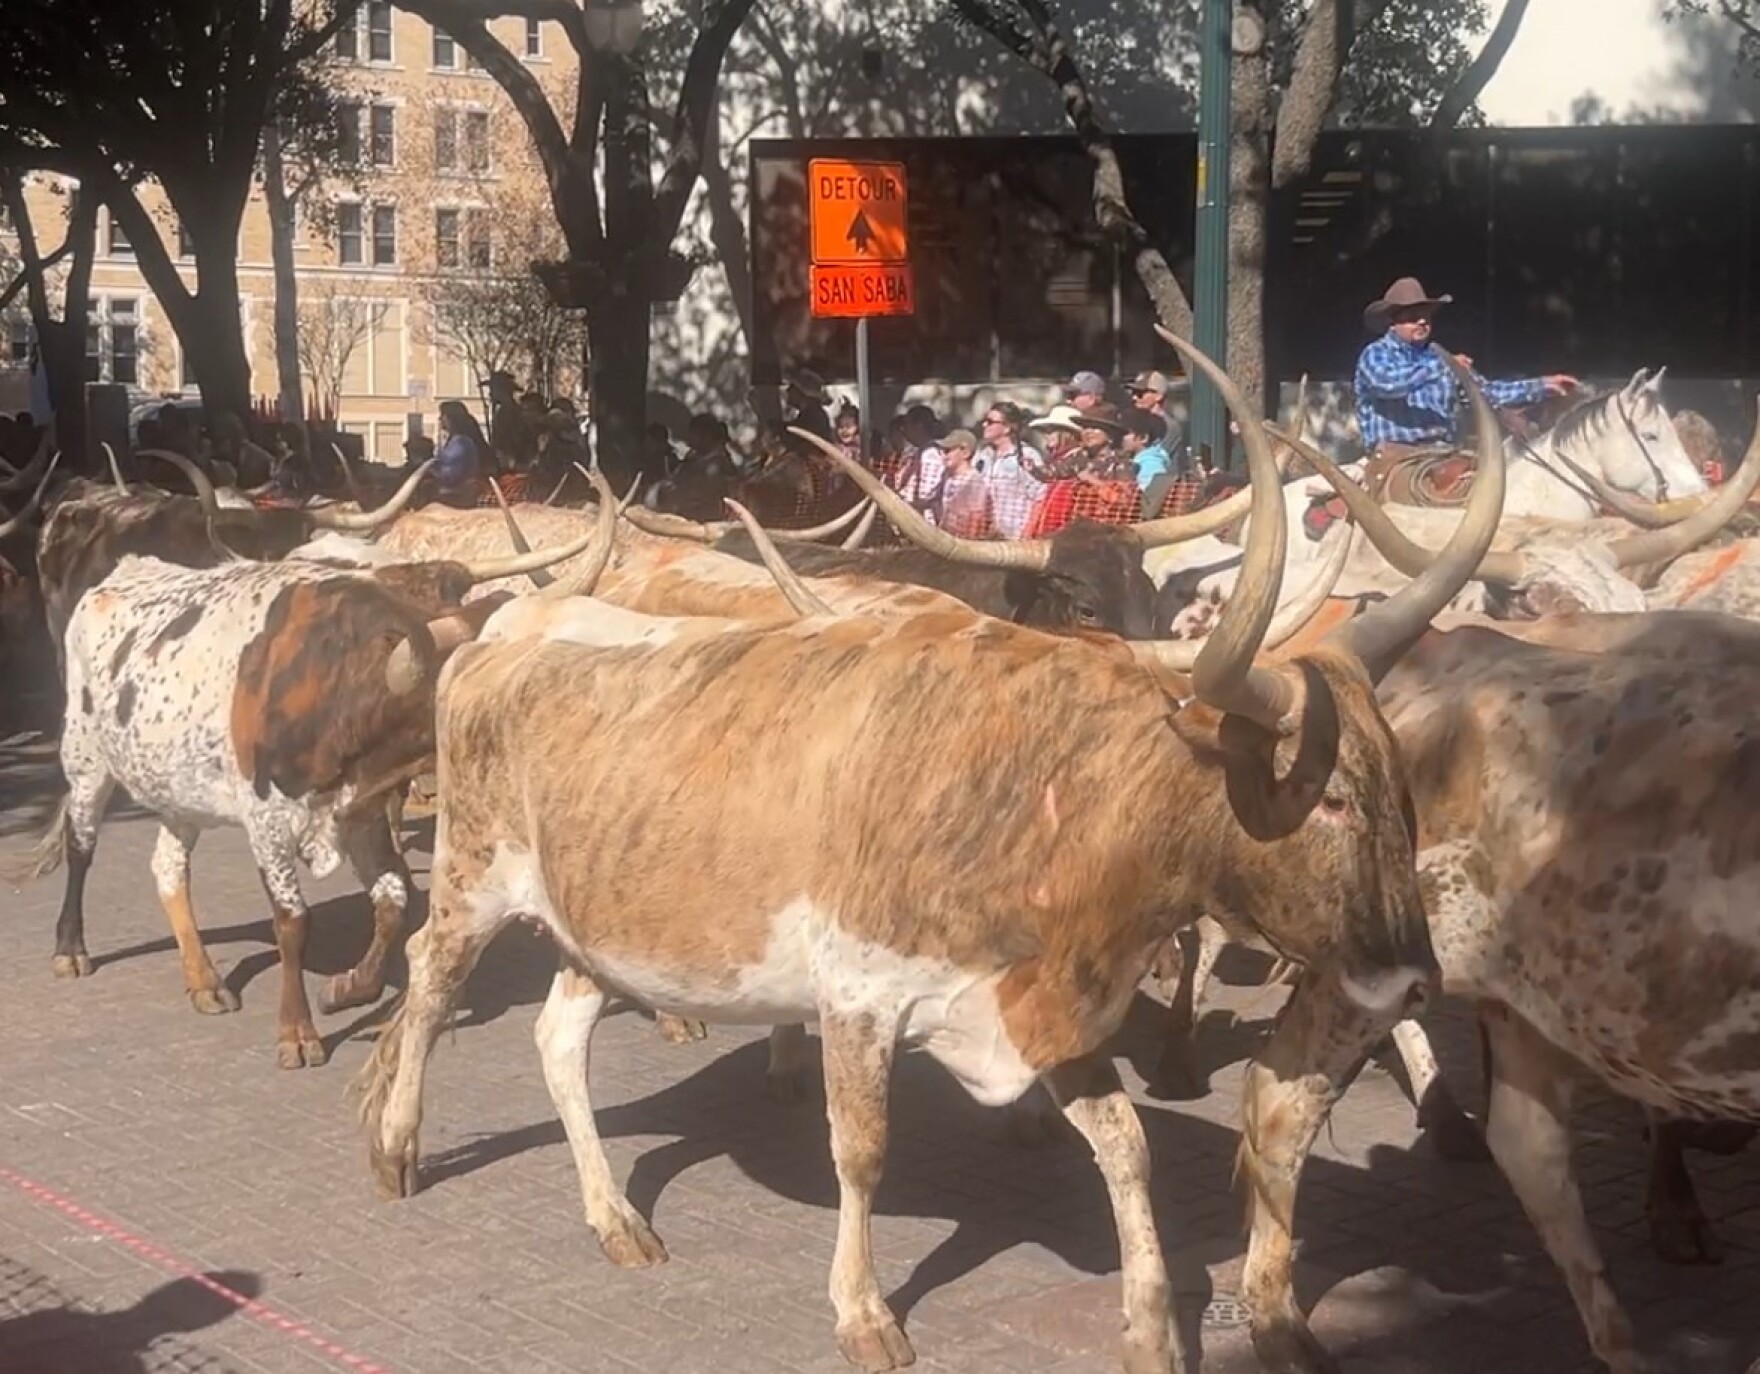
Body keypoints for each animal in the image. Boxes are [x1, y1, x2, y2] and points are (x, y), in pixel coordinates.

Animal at [1, 489, 616, 1068]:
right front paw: (297, 1033)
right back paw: (70, 948)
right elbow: (293, 922)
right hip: (85, 757)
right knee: (81, 846)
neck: (337, 686)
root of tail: (120, 573)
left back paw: (204, 979)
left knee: (168, 867)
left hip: (178, 790)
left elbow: (394, 899)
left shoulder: (360, 811)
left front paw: (349, 989)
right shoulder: (267, 822)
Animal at [351, 331, 1509, 1374]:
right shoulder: (859, 997)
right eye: (1326, 797)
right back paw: (395, 1142)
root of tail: (516, 624)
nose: (1414, 976)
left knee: (558, 1039)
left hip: (604, 926)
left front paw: (1149, 1326)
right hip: (471, 884)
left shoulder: (1043, 1010)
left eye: (1399, 792)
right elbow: (860, 1152)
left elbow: (1125, 1146)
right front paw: (864, 1314)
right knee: (429, 984)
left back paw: (613, 1219)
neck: (1039, 793)